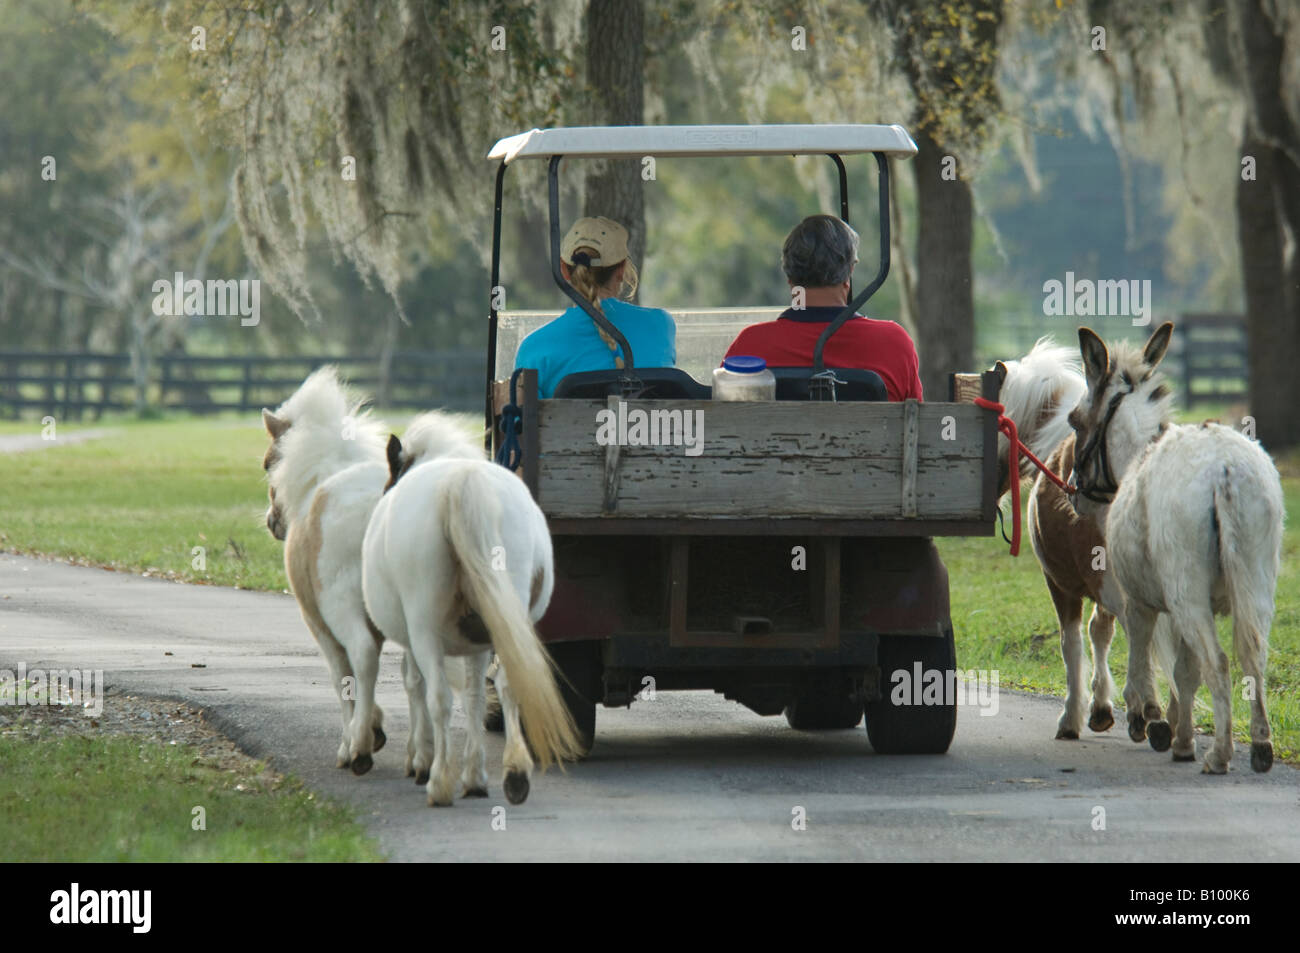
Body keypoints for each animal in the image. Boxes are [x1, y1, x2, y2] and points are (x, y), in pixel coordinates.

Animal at [261, 367, 432, 781]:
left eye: (268, 463)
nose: (272, 522)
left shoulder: (319, 624)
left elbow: (343, 676)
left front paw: (360, 736)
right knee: (418, 672)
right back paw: (421, 759)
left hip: (341, 608)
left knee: (364, 656)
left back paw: (359, 752)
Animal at [362, 411, 581, 806]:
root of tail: (463, 481)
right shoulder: (481, 642)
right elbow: (477, 699)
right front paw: (475, 777)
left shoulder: (414, 642)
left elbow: (417, 686)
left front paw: (422, 762)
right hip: (507, 622)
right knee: (508, 686)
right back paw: (514, 775)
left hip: (424, 629)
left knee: (439, 697)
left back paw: (439, 783)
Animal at [1070, 322, 1283, 773]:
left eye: (1075, 421)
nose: (1075, 493)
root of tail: (1224, 468)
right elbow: (1185, 671)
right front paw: (1181, 738)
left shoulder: (1140, 603)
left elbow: (1145, 662)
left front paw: (1146, 720)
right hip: (1255, 583)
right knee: (1253, 655)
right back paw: (1259, 746)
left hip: (1188, 594)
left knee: (1218, 661)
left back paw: (1220, 754)